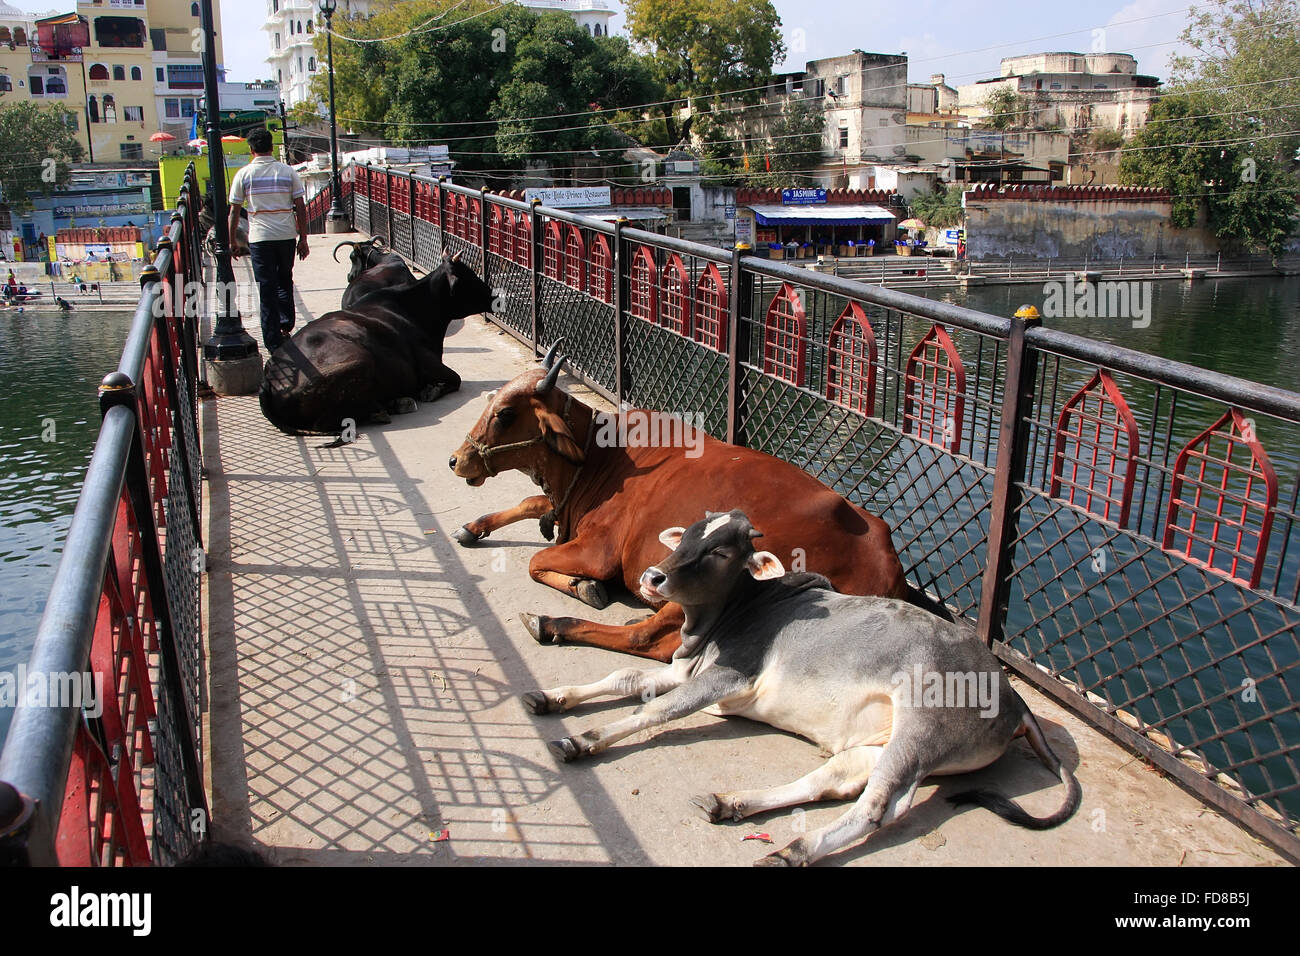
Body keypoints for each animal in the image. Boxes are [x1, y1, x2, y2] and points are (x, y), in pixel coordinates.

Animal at [259, 255, 493, 434]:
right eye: (470, 277)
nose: (493, 295)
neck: (414, 309)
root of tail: (268, 377)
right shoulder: (428, 363)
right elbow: (456, 378)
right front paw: (431, 391)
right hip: (360, 361)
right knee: (327, 422)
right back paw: (387, 408)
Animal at [447, 347, 919, 662]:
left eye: (505, 414)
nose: (456, 459)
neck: (600, 456)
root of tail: (885, 561)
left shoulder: (599, 550)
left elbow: (536, 561)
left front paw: (583, 586)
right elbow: (532, 501)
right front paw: (474, 526)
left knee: (649, 641)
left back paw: (551, 624)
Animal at [524, 509, 1081, 866]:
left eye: (721, 550)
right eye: (686, 536)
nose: (654, 577)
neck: (727, 616)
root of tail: (1014, 698)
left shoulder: (726, 676)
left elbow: (654, 712)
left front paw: (581, 739)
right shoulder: (685, 669)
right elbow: (623, 679)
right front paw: (554, 696)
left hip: (923, 730)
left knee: (878, 806)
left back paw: (794, 849)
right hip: (881, 743)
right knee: (833, 780)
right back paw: (732, 803)